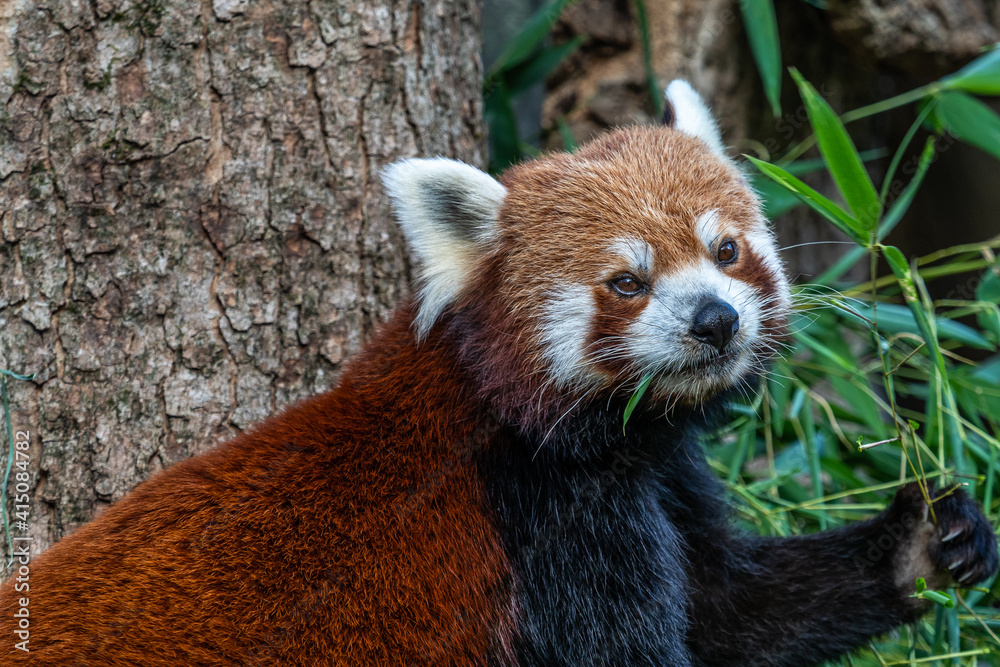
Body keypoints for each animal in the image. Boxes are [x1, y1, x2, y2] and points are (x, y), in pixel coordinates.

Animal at [1, 80, 996, 666]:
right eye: (627, 282)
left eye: (726, 249)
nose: (715, 319)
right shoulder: (542, 530)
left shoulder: (656, 481)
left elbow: (728, 611)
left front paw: (925, 541)